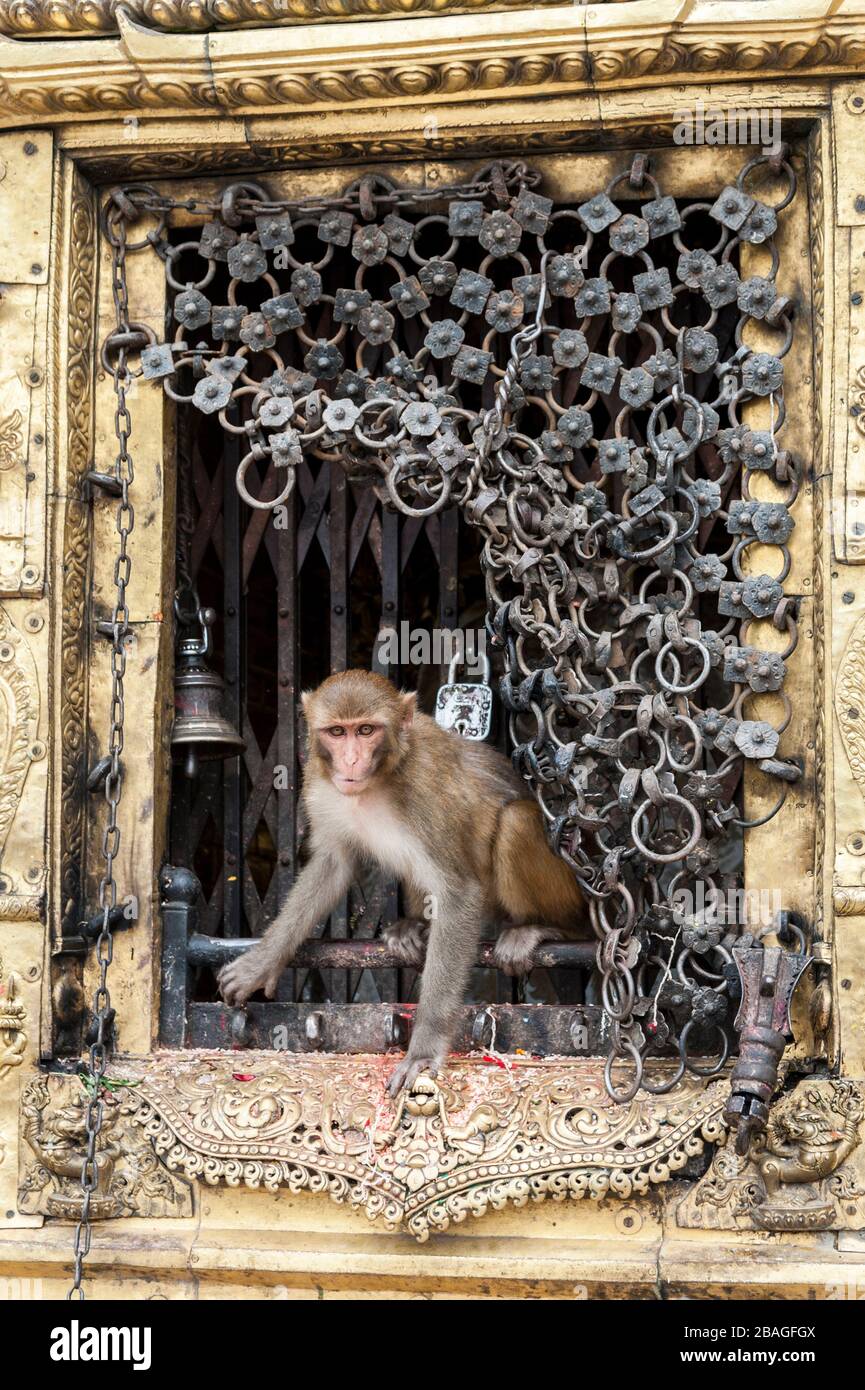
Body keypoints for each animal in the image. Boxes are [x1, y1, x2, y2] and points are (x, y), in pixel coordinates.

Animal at [218, 669, 590, 1095]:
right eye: (337, 732)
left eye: (366, 730)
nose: (350, 759)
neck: (378, 780)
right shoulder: (319, 780)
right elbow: (332, 865)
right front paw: (261, 962)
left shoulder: (425, 791)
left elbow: (459, 892)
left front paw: (424, 1049)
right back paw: (412, 927)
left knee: (515, 822)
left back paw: (548, 928)